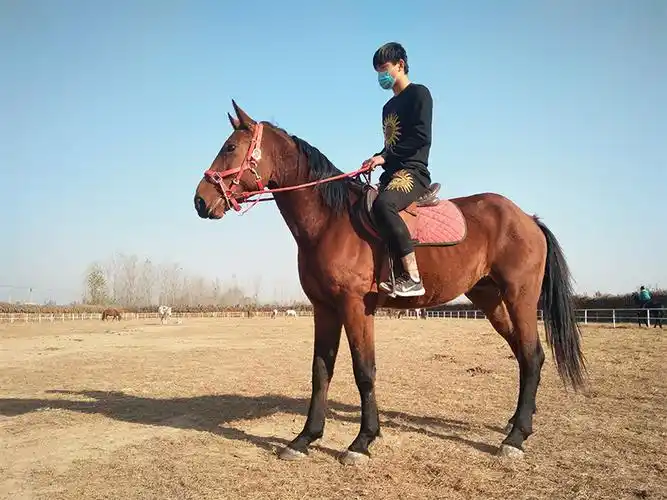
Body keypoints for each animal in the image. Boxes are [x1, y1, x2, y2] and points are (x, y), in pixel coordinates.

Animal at [193, 100, 586, 464]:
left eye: (229, 146)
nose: (200, 201)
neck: (331, 221)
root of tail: (527, 218)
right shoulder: (324, 309)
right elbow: (321, 370)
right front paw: (305, 438)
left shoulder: (356, 308)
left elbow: (363, 371)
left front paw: (362, 442)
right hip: (489, 299)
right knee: (522, 354)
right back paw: (518, 423)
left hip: (520, 297)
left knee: (532, 355)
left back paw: (515, 437)